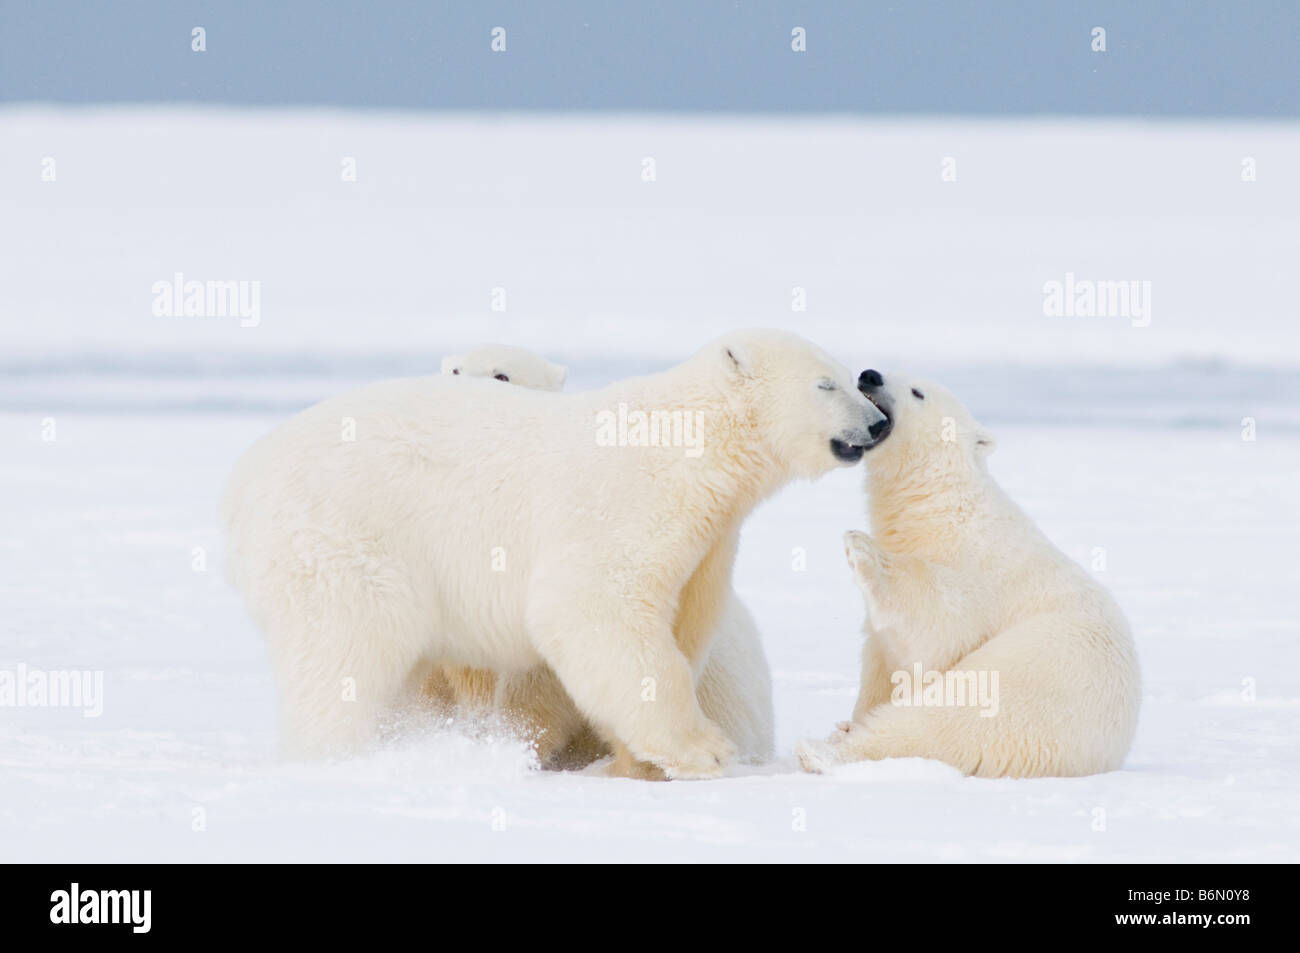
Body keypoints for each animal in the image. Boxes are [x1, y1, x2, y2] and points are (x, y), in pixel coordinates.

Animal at [796, 370, 1140, 778]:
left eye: (917, 391)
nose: (870, 375)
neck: (941, 506)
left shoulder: (980, 568)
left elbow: (939, 628)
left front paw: (863, 549)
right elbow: (885, 658)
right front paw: (856, 714)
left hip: (1027, 683)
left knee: (945, 719)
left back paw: (822, 752)